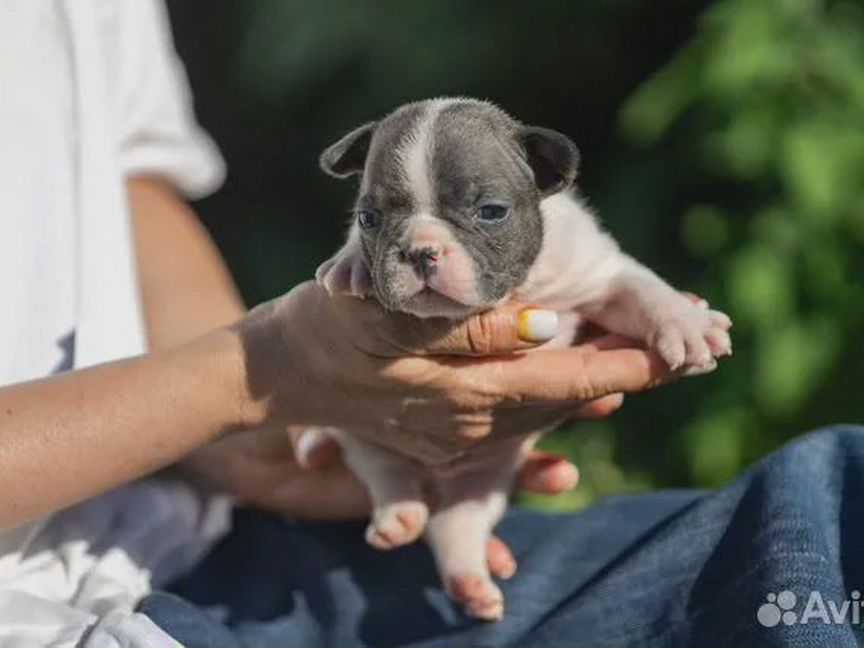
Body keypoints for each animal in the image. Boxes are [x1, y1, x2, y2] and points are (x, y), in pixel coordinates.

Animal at [314, 97, 732, 624]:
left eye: (491, 212)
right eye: (368, 218)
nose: (420, 251)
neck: (515, 292)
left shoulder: (599, 273)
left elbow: (643, 290)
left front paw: (687, 323)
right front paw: (350, 261)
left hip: (486, 480)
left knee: (457, 522)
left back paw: (469, 582)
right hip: (362, 432)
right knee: (386, 473)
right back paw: (400, 516)